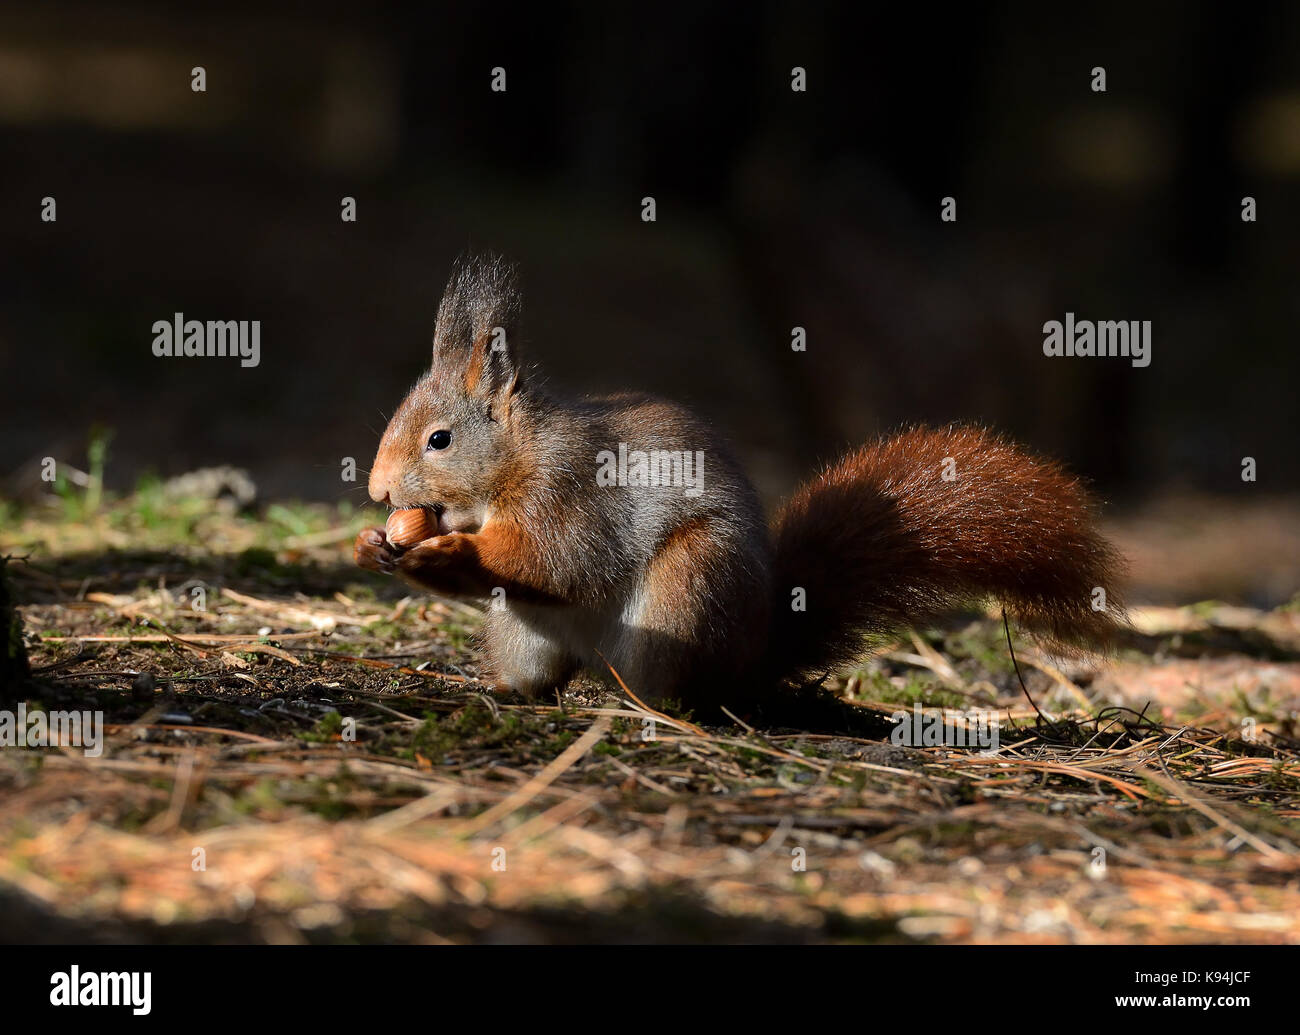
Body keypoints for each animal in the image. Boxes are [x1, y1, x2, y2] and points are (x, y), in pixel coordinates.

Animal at [355, 255, 1125, 717]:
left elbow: (552, 561)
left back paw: (645, 705)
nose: (377, 492)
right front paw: (373, 547)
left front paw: (444, 554)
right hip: (526, 633)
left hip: (688, 590)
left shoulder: (569, 494)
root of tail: (752, 660)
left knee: (669, 689)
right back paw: (500, 686)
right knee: (539, 670)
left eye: (439, 439)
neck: (514, 459)